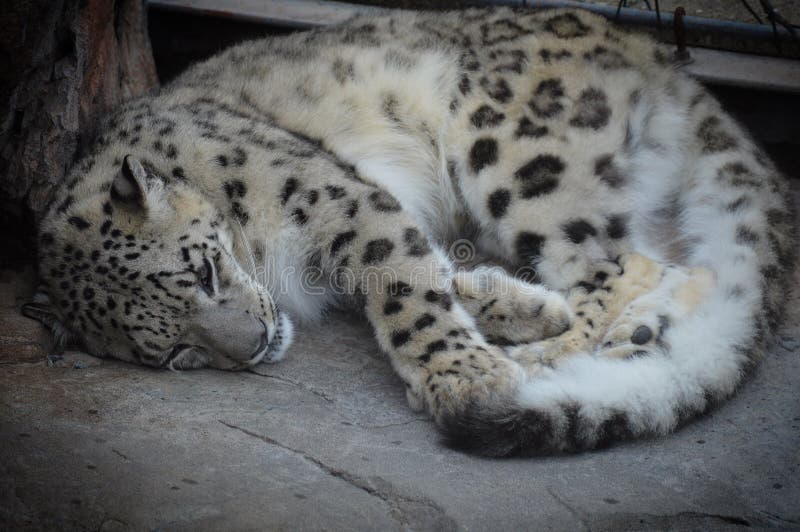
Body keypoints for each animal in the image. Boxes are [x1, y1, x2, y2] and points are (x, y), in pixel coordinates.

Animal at [23, 7, 795, 457]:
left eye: (203, 271)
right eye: (172, 354)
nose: (252, 345)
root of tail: (650, 51)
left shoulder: (335, 198)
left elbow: (405, 289)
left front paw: (469, 379)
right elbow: (437, 274)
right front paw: (515, 307)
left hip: (520, 159)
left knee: (618, 263)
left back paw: (543, 363)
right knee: (675, 269)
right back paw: (621, 337)